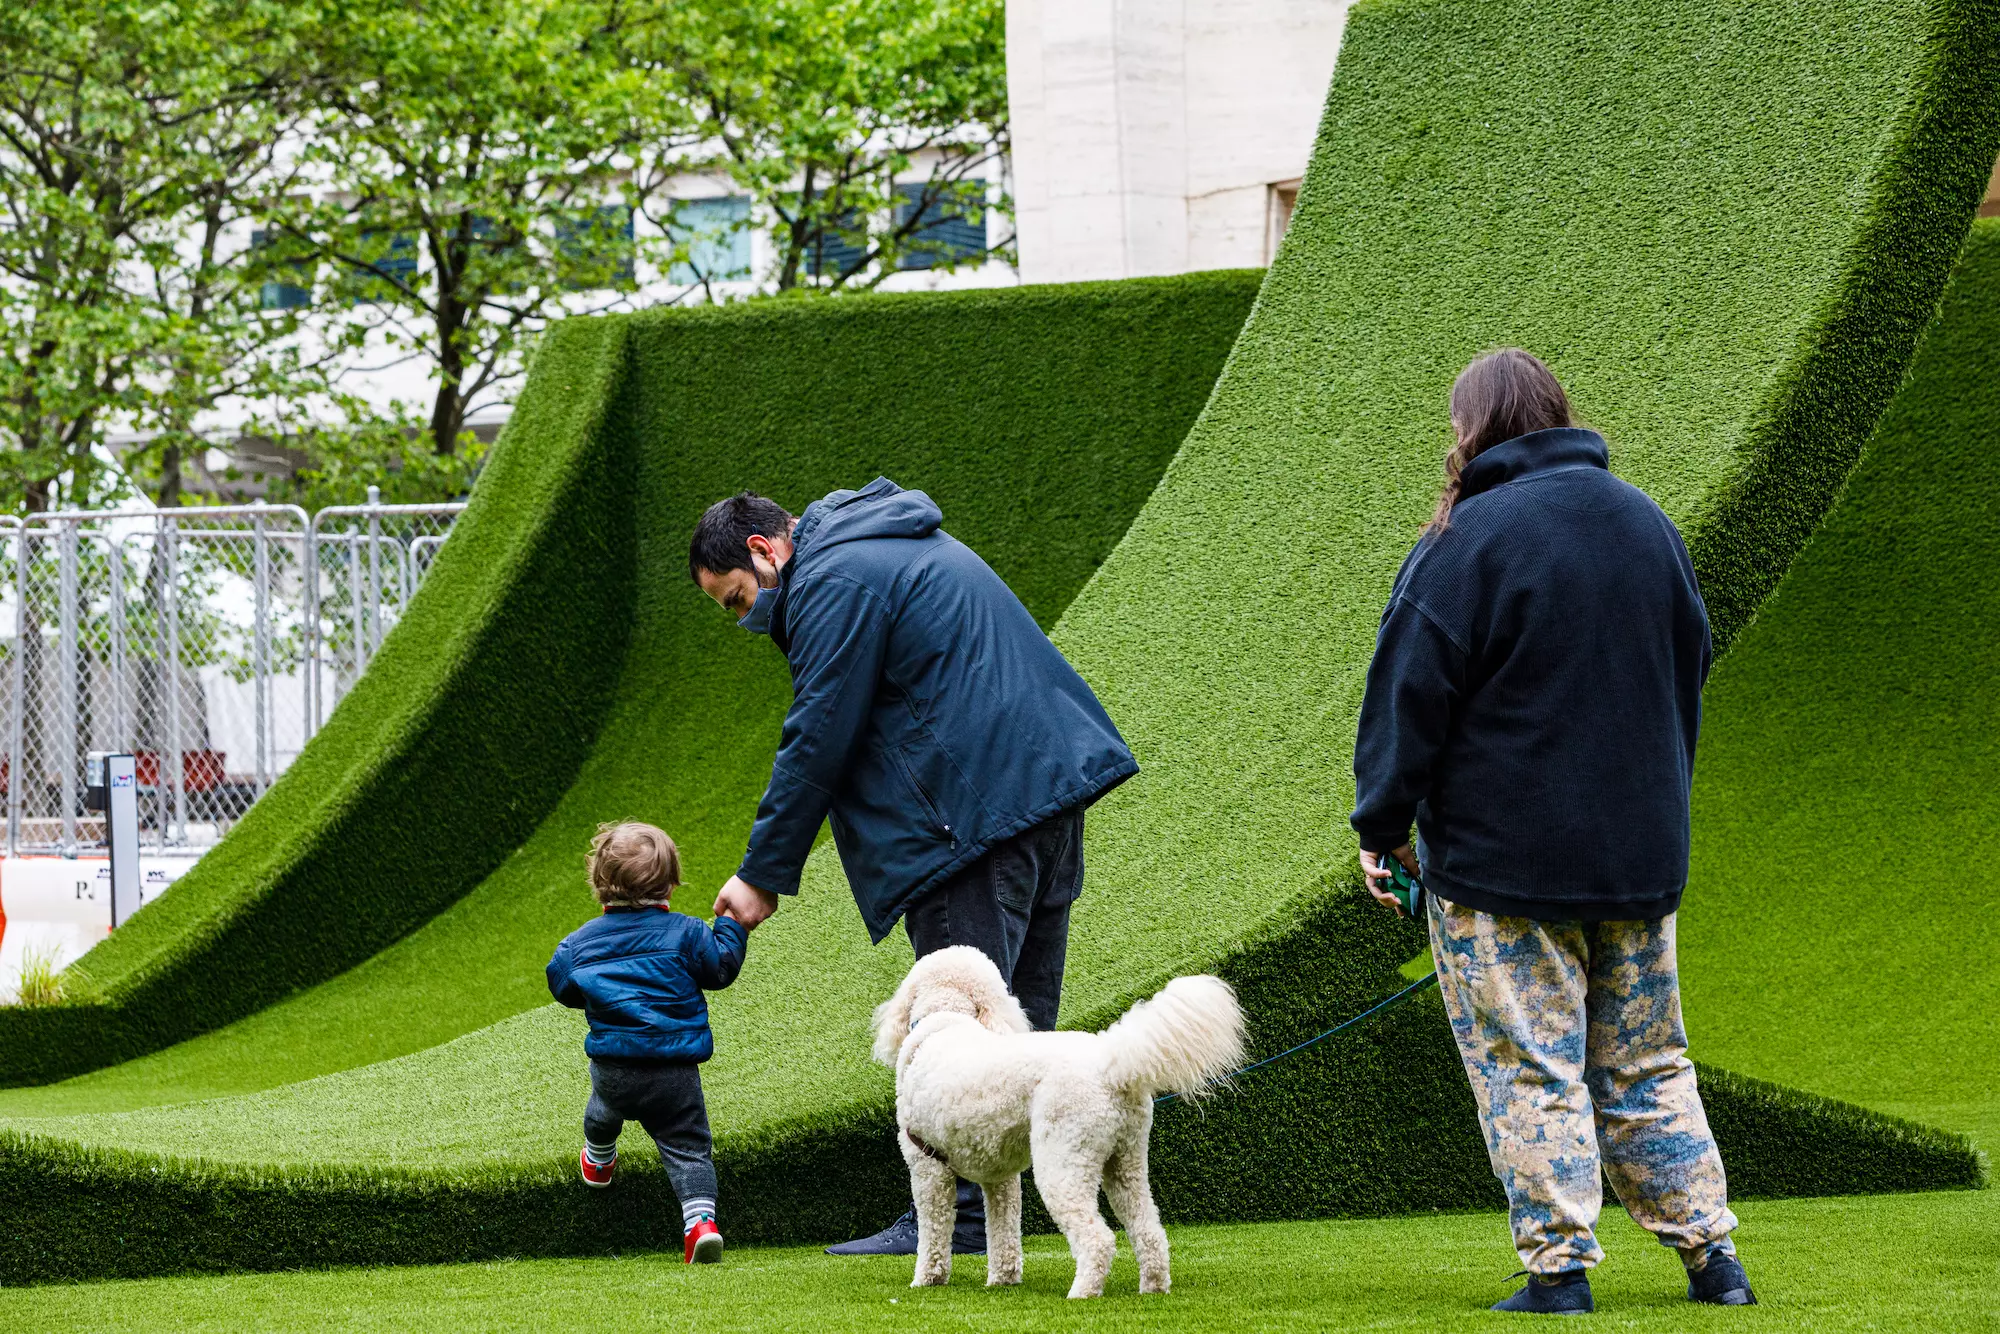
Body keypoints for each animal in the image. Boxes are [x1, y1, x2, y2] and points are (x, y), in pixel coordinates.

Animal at [876, 944, 1248, 1296]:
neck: (946, 1017)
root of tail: (1111, 1062)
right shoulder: (1000, 1176)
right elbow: (1003, 1230)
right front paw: (1003, 1279)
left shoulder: (927, 1167)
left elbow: (934, 1232)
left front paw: (927, 1279)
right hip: (1126, 1161)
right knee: (1149, 1230)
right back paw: (1153, 1287)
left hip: (1063, 1159)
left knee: (1099, 1239)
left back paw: (1082, 1292)